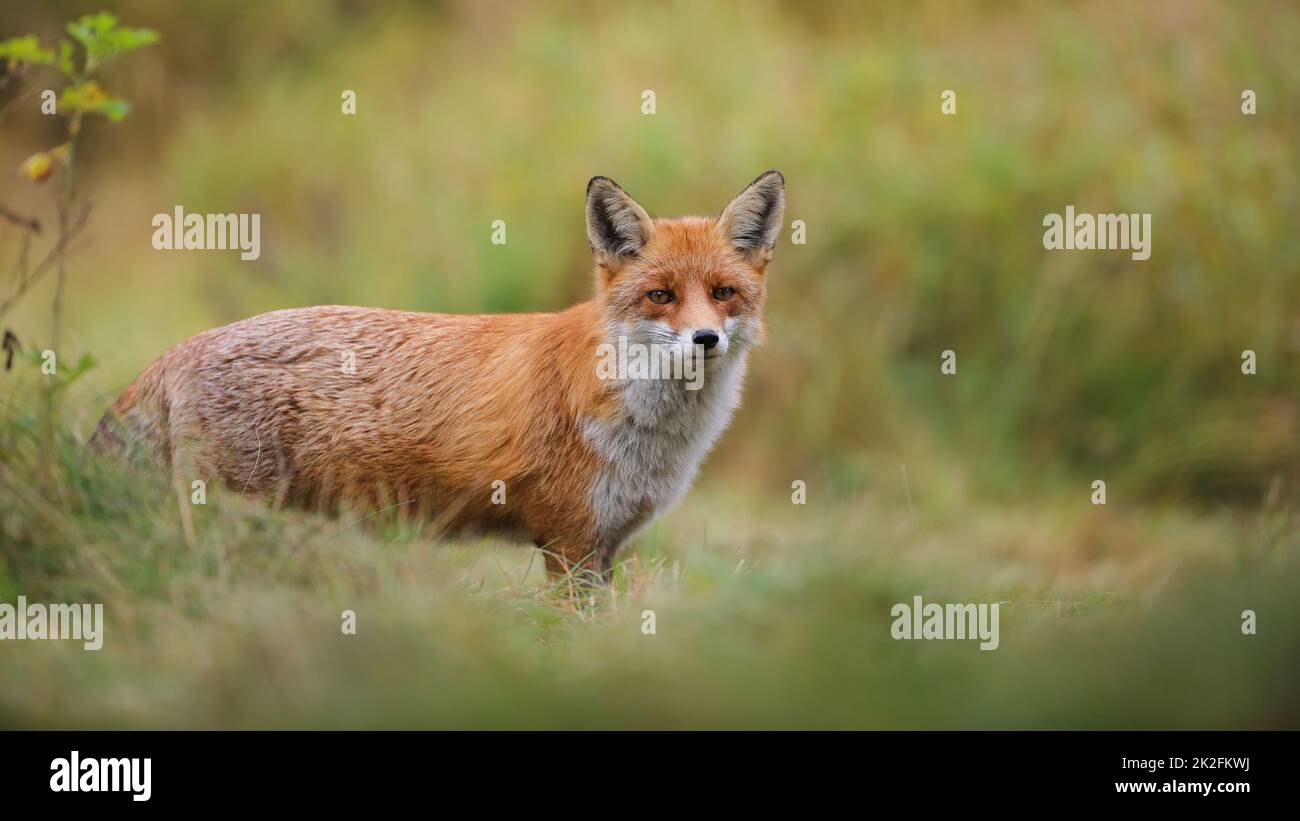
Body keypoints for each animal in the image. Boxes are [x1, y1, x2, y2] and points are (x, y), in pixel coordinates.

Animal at [92, 170, 786, 579]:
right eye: (661, 296)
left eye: (723, 293)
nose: (704, 339)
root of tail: (180, 347)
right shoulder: (569, 542)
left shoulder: (605, 546)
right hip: (233, 511)